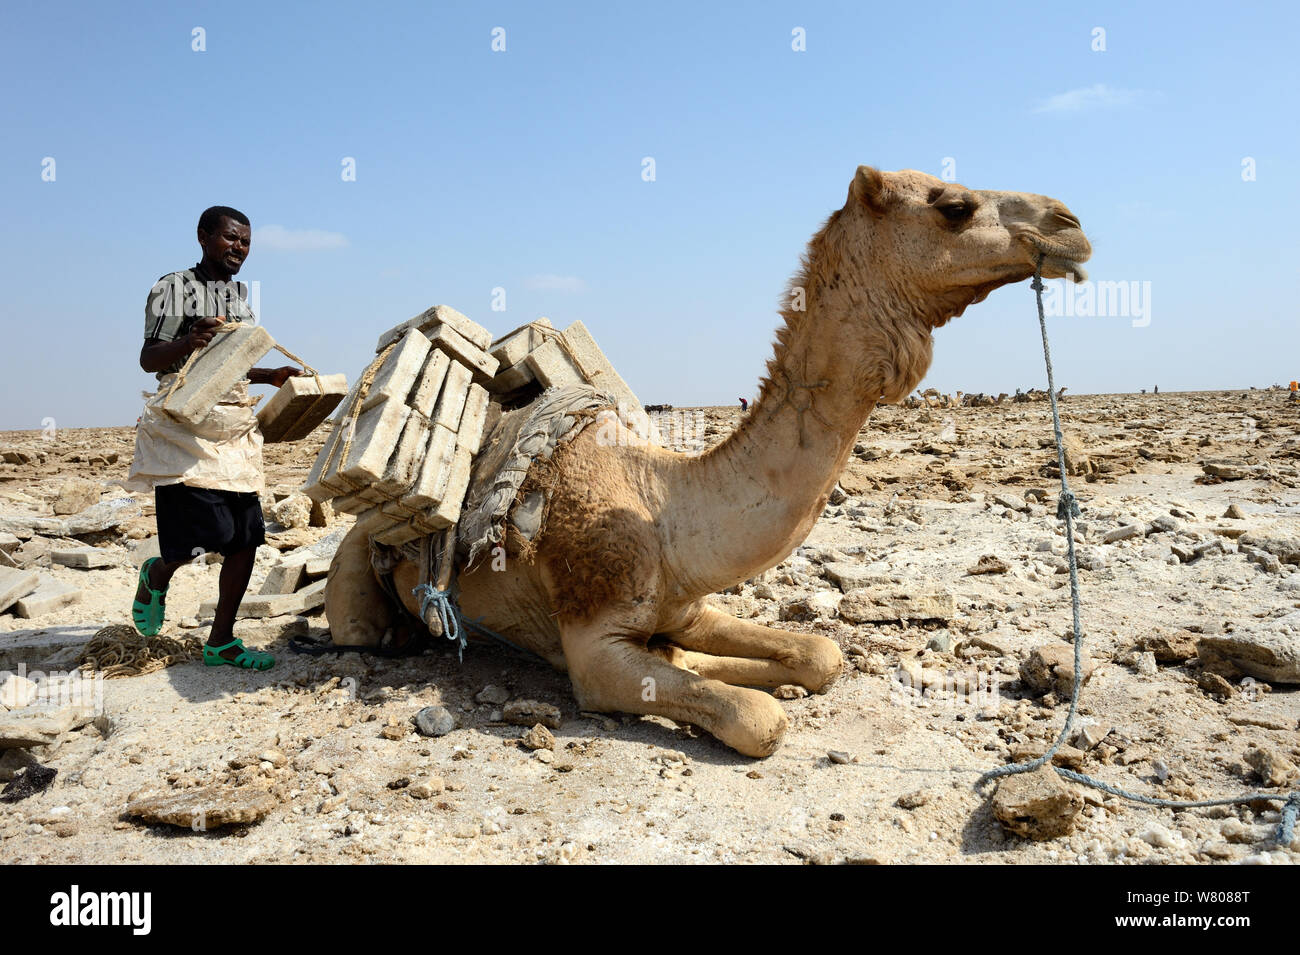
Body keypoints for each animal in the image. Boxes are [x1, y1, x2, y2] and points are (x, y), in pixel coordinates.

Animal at [326, 166, 1091, 757]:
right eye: (953, 205)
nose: (1070, 222)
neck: (665, 505)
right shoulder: (593, 647)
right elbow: (758, 718)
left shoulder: (686, 601)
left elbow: (821, 655)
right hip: (357, 582)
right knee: (363, 628)